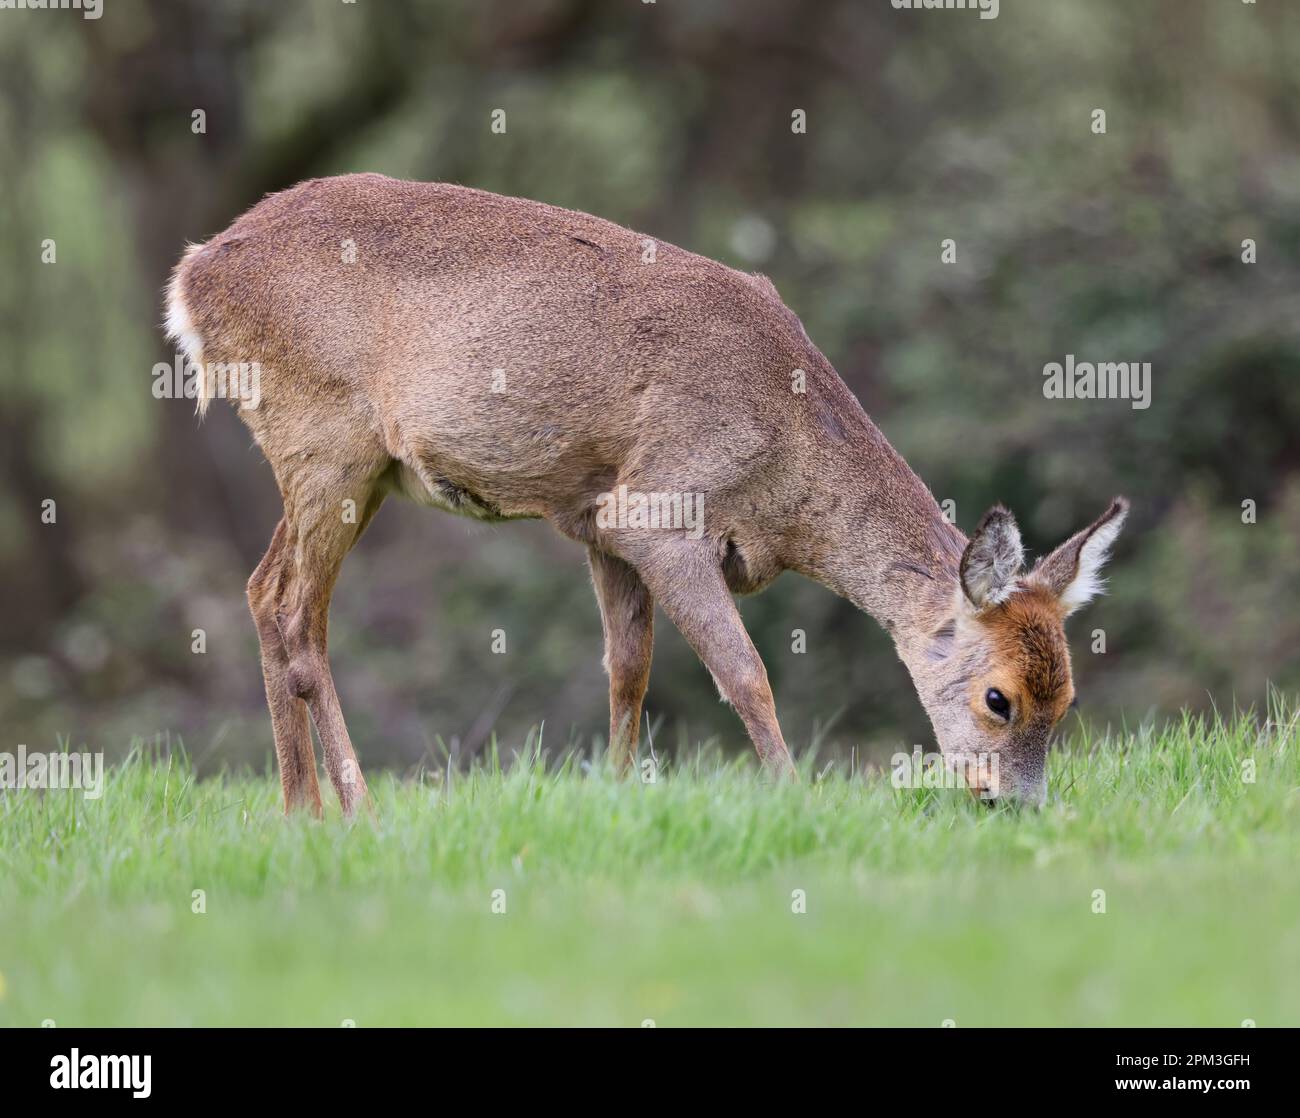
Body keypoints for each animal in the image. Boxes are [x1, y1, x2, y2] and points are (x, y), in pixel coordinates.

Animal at [166, 173, 1127, 816]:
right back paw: (354, 809)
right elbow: (746, 673)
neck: (788, 472)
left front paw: (621, 796)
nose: (1013, 804)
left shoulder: (598, 519)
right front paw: (791, 798)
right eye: (998, 698)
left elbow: (628, 670)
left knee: (263, 592)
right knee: (295, 612)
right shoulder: (661, 509)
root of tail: (194, 278)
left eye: (1069, 701)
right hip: (326, 436)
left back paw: (302, 813)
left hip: (342, 466)